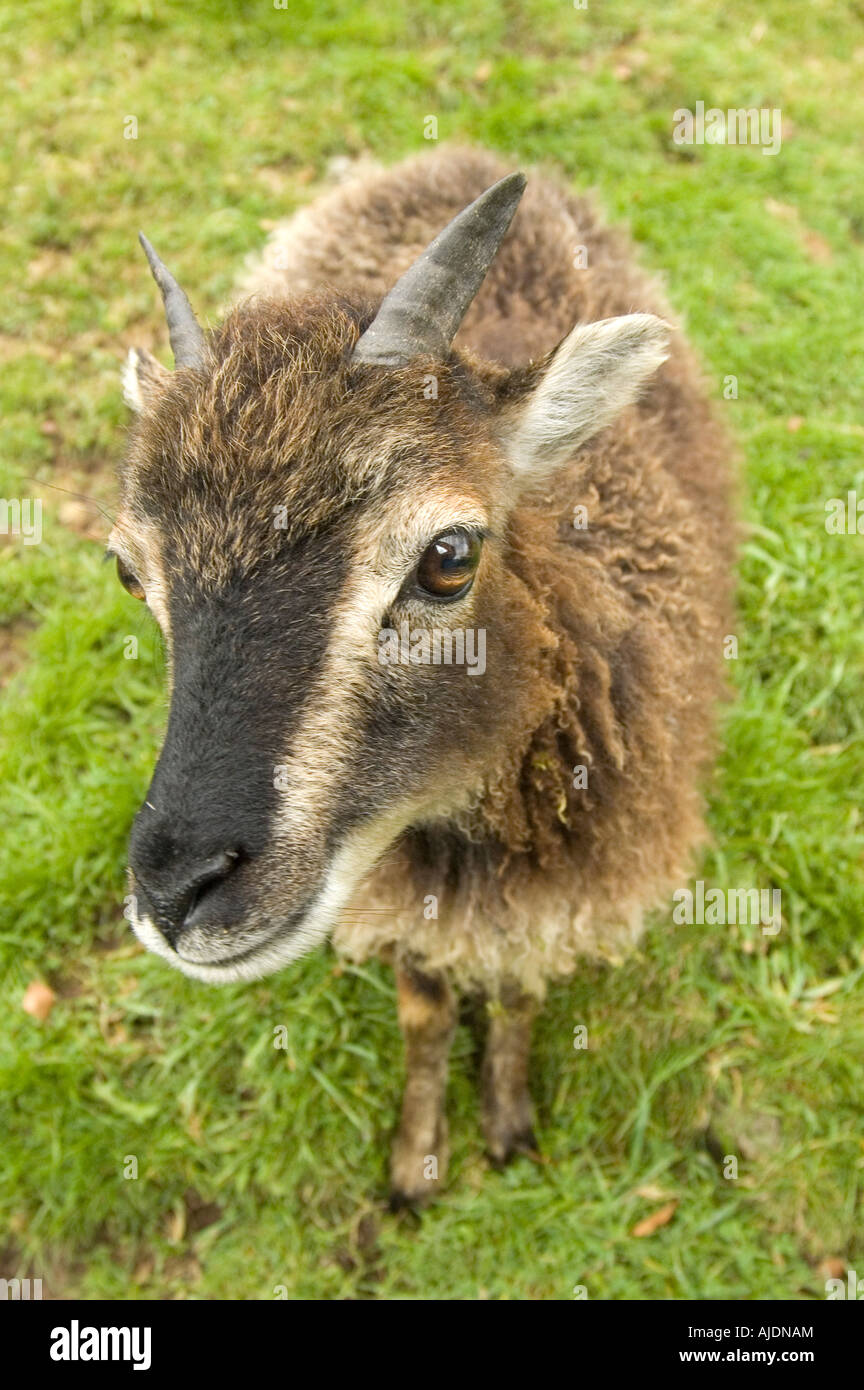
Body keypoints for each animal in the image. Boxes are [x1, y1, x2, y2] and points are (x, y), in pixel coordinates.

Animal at [114, 147, 735, 1206]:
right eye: (127, 571)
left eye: (448, 554)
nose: (176, 893)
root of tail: (464, 153)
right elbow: (426, 1010)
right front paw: (417, 1162)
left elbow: (520, 994)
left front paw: (507, 1125)